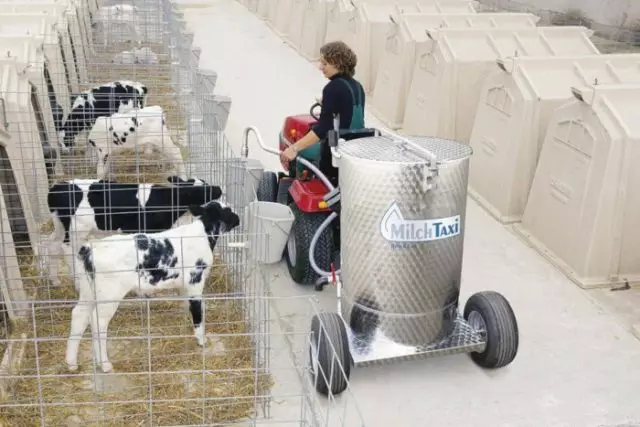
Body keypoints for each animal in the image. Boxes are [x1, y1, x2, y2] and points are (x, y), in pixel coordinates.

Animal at [46, 176, 221, 290]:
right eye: (202, 190)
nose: (219, 189)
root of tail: (56, 188)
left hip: (59, 225)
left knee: (53, 244)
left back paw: (54, 281)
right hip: (77, 228)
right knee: (67, 249)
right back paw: (76, 283)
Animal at [65, 202, 240, 372]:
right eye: (228, 211)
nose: (238, 218)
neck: (203, 234)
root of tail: (89, 248)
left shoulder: (183, 286)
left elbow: (188, 307)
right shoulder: (195, 281)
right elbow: (198, 312)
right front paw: (202, 340)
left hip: (88, 290)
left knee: (79, 315)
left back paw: (71, 363)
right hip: (109, 294)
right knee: (98, 322)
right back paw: (104, 364)